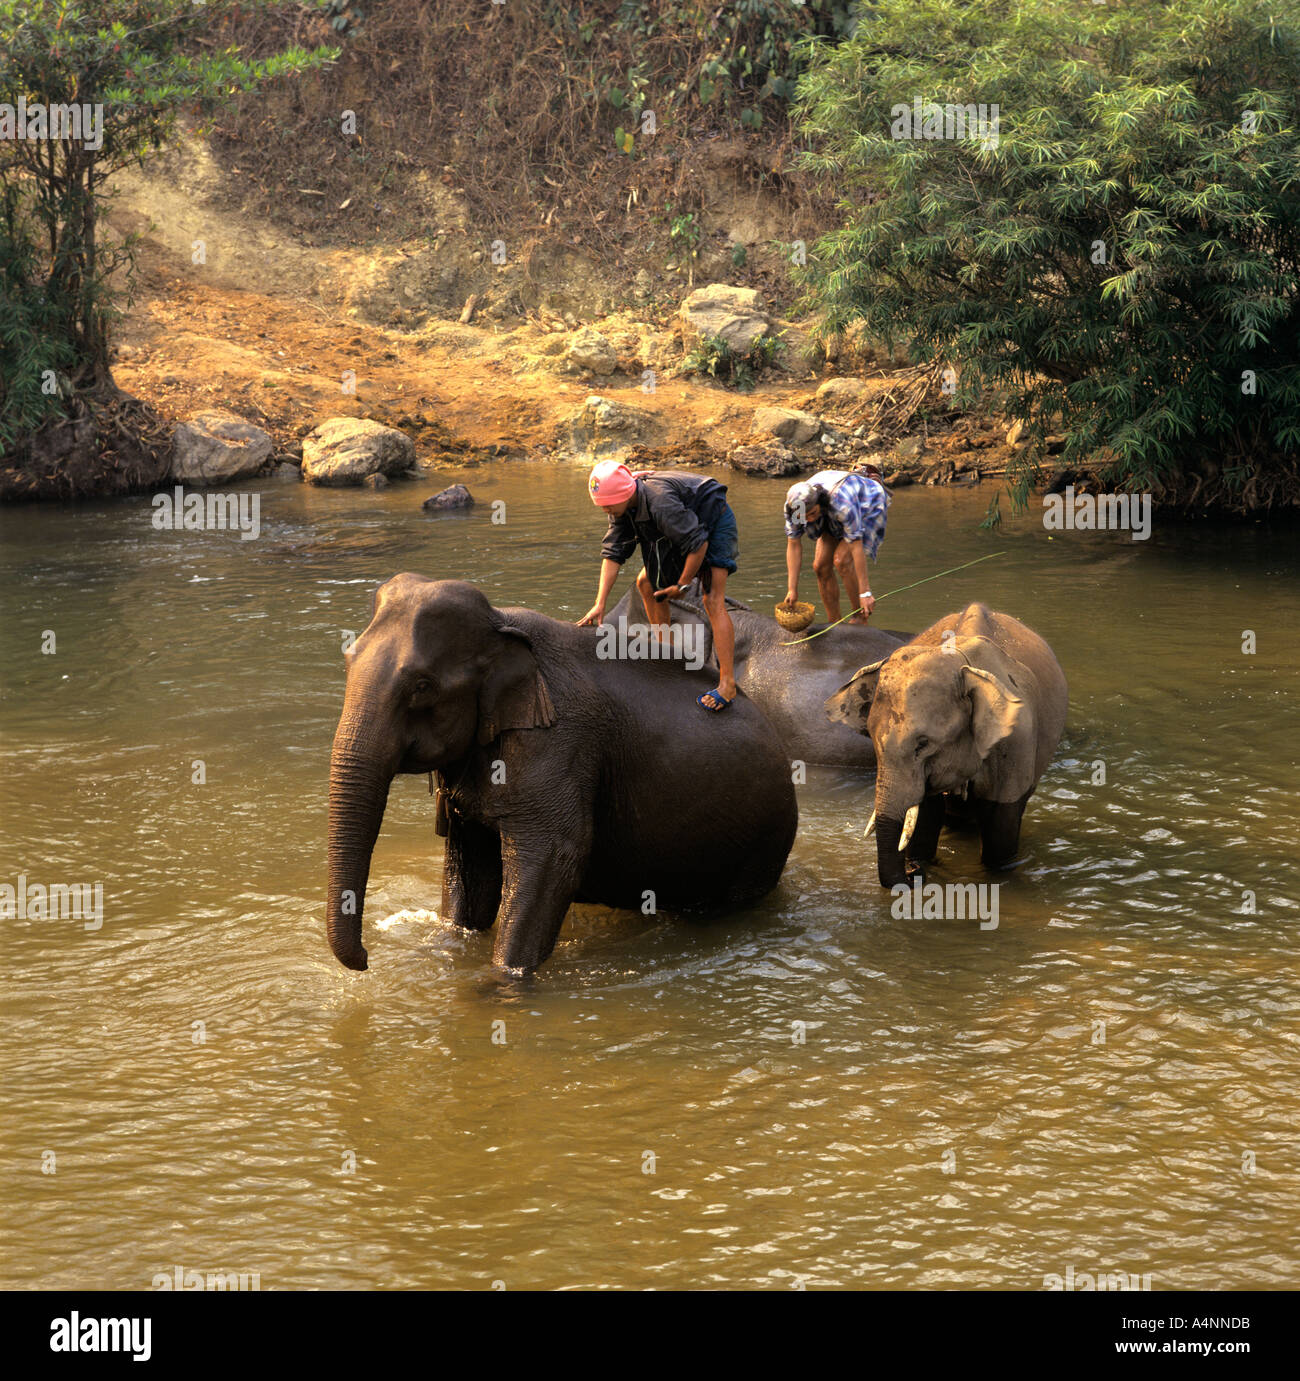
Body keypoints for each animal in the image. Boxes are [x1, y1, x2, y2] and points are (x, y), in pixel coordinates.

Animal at [326, 575, 799, 973]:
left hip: (765, 839)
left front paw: (501, 984)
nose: (366, 960)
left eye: (422, 687)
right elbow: (468, 861)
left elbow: (554, 855)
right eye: (346, 663)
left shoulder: (559, 742)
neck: (500, 623)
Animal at [824, 602, 1068, 888]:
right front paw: (922, 860)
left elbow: (1001, 831)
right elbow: (925, 813)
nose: (912, 872)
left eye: (923, 744)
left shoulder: (1017, 742)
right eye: (871, 738)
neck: (962, 665)